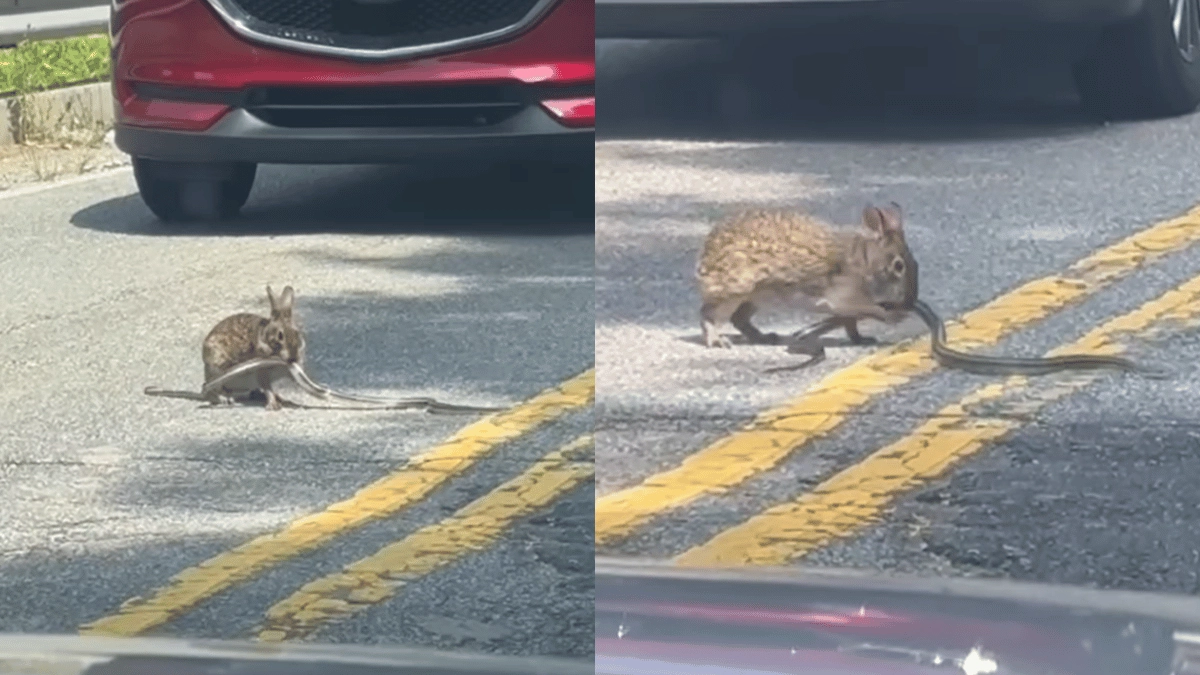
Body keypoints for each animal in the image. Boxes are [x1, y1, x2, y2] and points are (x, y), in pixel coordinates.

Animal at [696, 203, 918, 350]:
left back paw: (764, 337)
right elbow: (869, 310)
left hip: (759, 297)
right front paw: (894, 316)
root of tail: (707, 253)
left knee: (739, 318)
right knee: (709, 313)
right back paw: (717, 341)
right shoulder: (843, 298)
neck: (866, 265)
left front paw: (861, 339)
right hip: (737, 291)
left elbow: (851, 324)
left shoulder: (847, 309)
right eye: (898, 266)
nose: (910, 302)